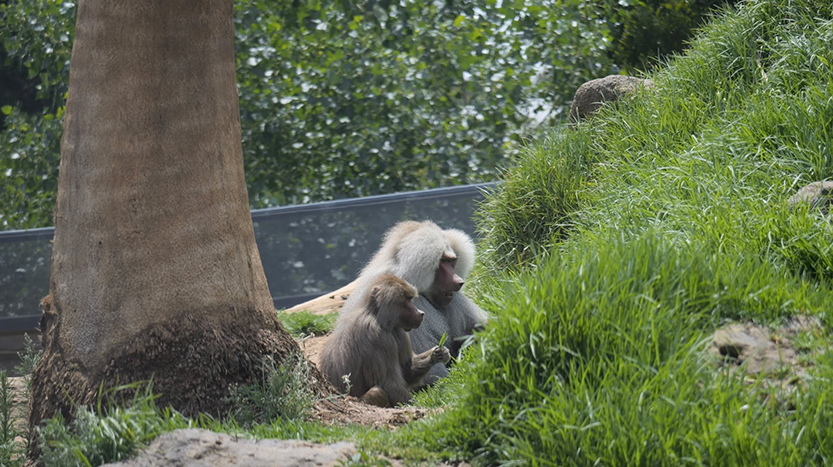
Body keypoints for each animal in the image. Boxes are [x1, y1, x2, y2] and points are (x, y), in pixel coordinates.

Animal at [318, 273, 451, 407]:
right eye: (407, 299)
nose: (421, 313)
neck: (377, 316)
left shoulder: (399, 331)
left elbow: (406, 370)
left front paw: (438, 354)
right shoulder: (378, 337)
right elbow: (389, 385)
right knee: (378, 392)